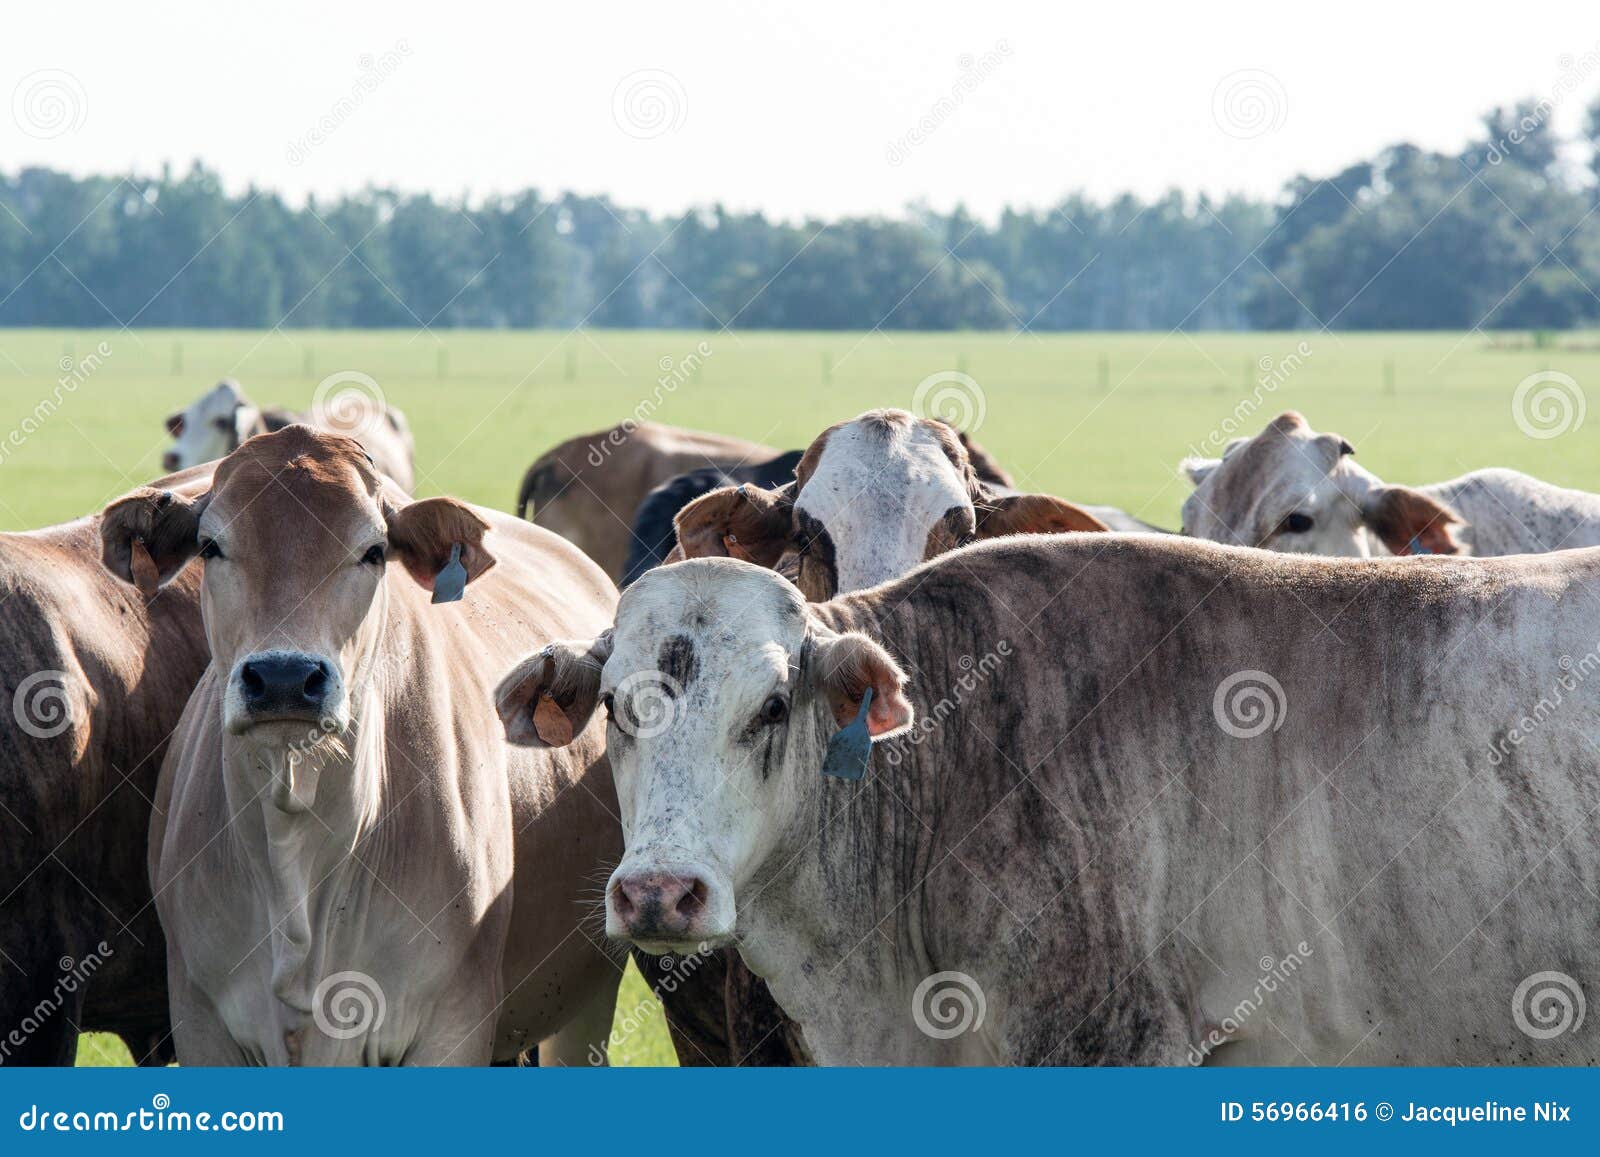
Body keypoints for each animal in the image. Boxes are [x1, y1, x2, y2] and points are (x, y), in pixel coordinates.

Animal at [98, 426, 621, 1065]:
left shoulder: (455, 1021)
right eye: (211, 546)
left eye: (373, 551)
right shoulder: (200, 1020)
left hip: (591, 991)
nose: (283, 678)